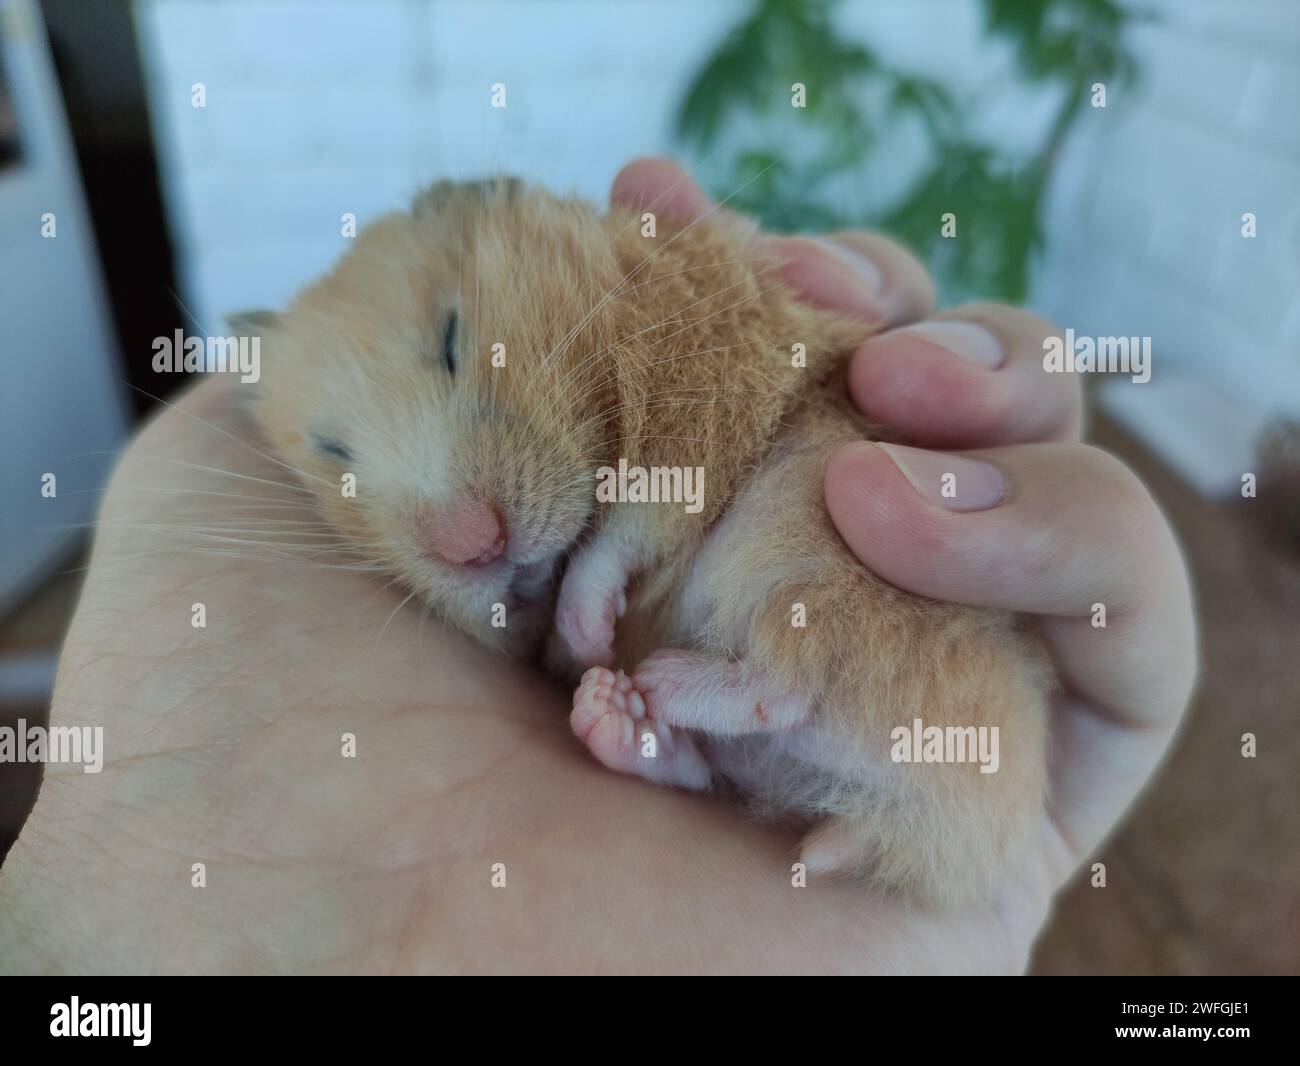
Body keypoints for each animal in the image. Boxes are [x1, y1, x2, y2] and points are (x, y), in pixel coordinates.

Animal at [249, 177, 1050, 905]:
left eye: (451, 340)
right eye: (332, 454)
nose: (475, 546)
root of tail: (984, 831)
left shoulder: (708, 400)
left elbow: (626, 531)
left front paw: (589, 623)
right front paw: (586, 641)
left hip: (808, 535)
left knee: (792, 682)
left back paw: (659, 680)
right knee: (732, 754)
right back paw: (621, 714)